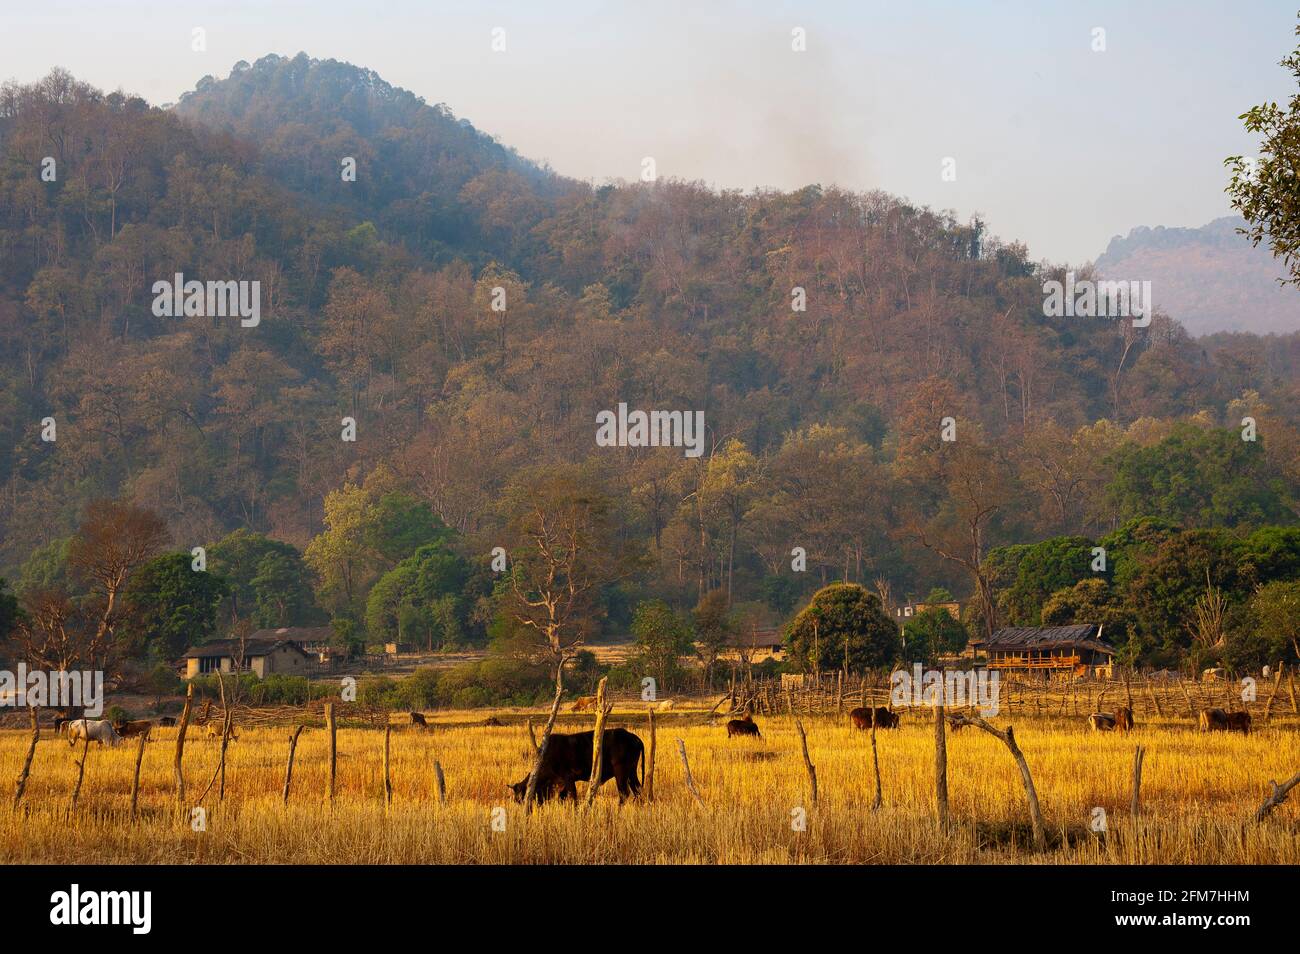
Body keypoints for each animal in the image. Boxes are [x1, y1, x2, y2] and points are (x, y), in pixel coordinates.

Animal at [509, 728, 645, 805]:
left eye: (522, 797)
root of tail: (633, 737)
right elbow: (562, 799)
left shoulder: (568, 778)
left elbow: (573, 797)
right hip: (631, 772)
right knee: (638, 790)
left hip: (620, 772)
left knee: (624, 793)